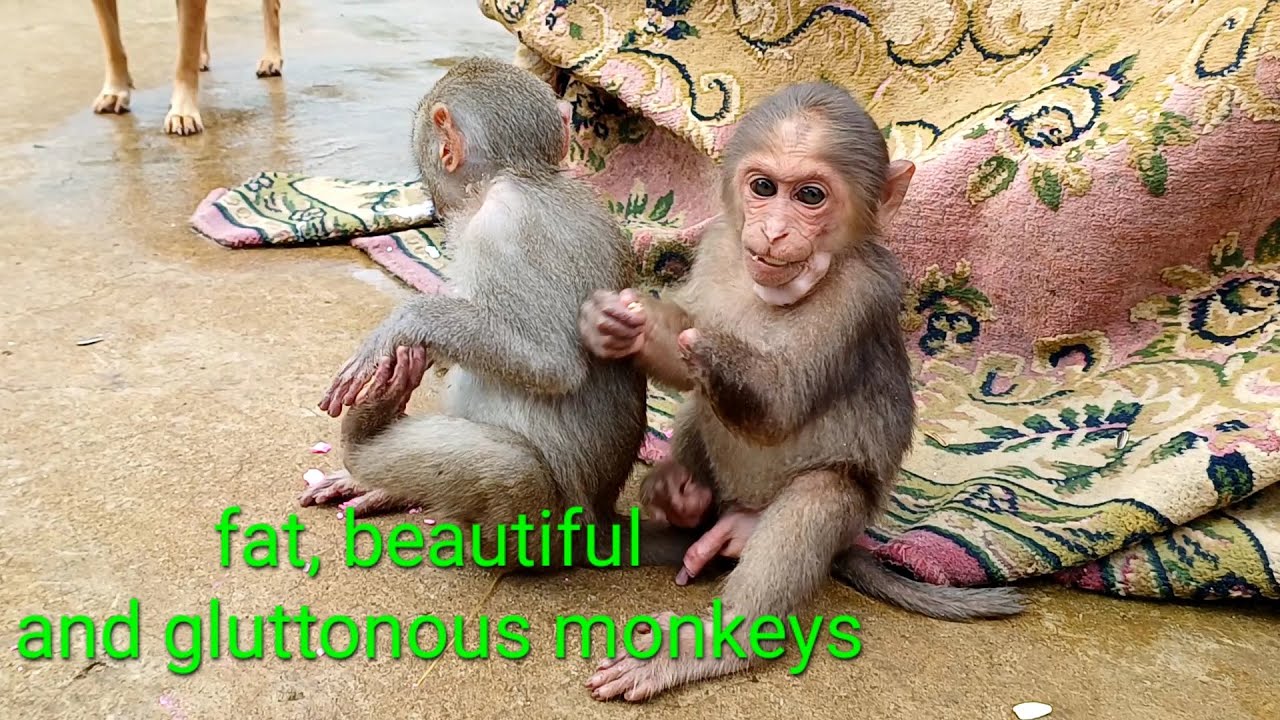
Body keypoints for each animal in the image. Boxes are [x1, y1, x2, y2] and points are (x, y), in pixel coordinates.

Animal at [298, 57, 695, 569]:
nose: (434, 199)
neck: (525, 175)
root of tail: (602, 525)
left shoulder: (498, 228)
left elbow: (552, 365)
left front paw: (410, 322)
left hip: (539, 529)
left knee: (511, 468)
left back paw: (368, 438)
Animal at [577, 82, 1026, 701]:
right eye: (763, 188)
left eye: (810, 196)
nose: (773, 232)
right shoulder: (718, 245)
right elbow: (690, 372)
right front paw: (620, 324)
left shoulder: (861, 294)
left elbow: (781, 405)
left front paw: (698, 341)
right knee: (699, 422)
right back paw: (682, 500)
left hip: (826, 513)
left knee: (819, 497)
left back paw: (712, 646)